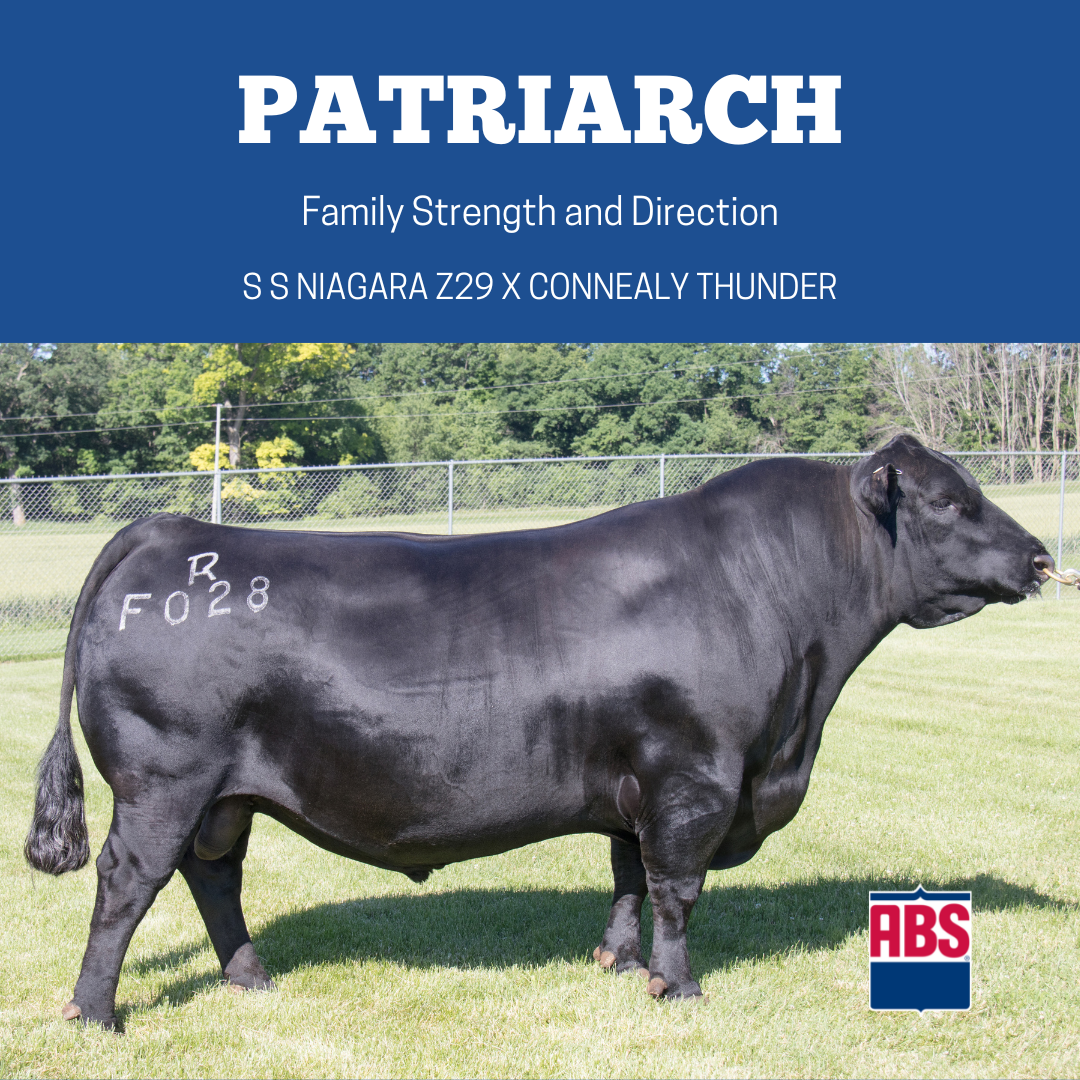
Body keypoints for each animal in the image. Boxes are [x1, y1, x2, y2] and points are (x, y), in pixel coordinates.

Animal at [25, 434, 1053, 1028]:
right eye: (951, 502)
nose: (1044, 557)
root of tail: (166, 530)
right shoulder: (696, 776)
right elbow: (677, 889)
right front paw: (676, 988)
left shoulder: (641, 784)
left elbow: (629, 875)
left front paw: (616, 962)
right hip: (165, 779)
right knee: (128, 884)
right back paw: (95, 1012)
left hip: (224, 793)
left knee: (214, 876)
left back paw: (249, 979)